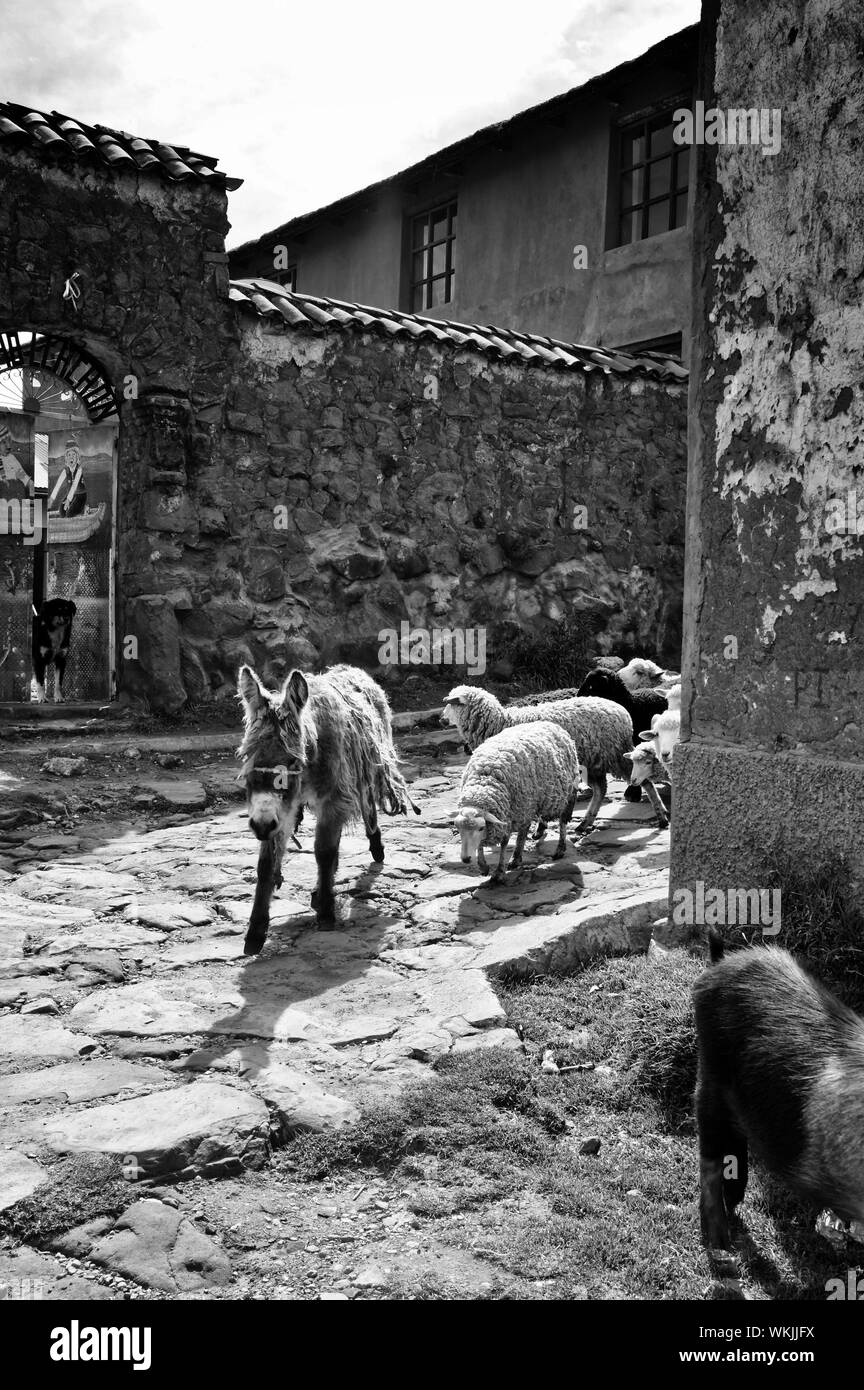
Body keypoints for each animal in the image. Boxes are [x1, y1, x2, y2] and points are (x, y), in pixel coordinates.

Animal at [441, 685, 668, 832]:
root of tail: (622, 711)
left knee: (643, 779)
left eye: (451, 704)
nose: (441, 720)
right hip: (594, 760)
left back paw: (662, 816)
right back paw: (585, 823)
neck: (501, 721)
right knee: (601, 789)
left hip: (613, 754)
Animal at [454, 722, 581, 882]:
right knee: (531, 824)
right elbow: (481, 844)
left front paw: (500, 871)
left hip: (561, 794)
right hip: (534, 800)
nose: (465, 859)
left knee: (562, 821)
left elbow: (504, 842)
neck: (483, 782)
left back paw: (559, 849)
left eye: (481, 828)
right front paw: (483, 866)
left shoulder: (512, 813)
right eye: (458, 829)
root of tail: (548, 723)